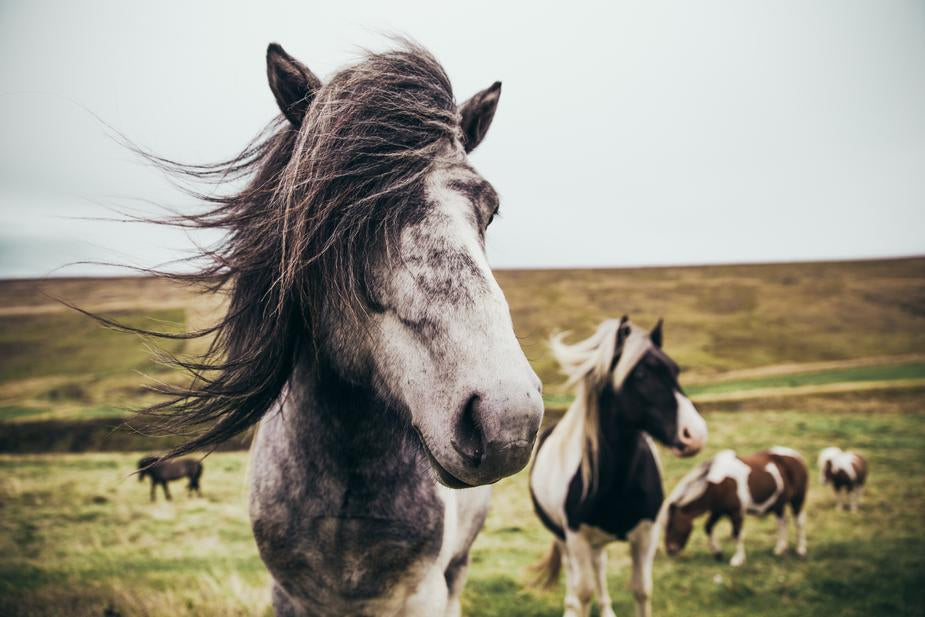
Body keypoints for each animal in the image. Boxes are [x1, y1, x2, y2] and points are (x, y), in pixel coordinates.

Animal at [115, 41, 543, 616]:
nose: (507, 418)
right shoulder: (288, 595)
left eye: (490, 210)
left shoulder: (422, 594)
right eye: (340, 214)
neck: (345, 503)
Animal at [530, 317, 708, 617]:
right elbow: (583, 592)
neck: (616, 482)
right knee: (573, 574)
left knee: (599, 566)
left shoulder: (647, 534)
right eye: (640, 374)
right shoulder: (576, 536)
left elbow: (642, 590)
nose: (694, 434)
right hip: (565, 539)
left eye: (675, 370)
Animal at [663, 447, 808, 567]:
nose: (669, 550)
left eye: (672, 525)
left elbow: (737, 534)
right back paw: (780, 549)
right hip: (778, 505)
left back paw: (801, 549)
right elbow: (708, 528)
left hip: (797, 500)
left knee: (799, 522)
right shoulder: (718, 511)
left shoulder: (736, 513)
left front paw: (738, 559)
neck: (719, 484)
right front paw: (717, 552)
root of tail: (798, 457)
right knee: (782, 522)